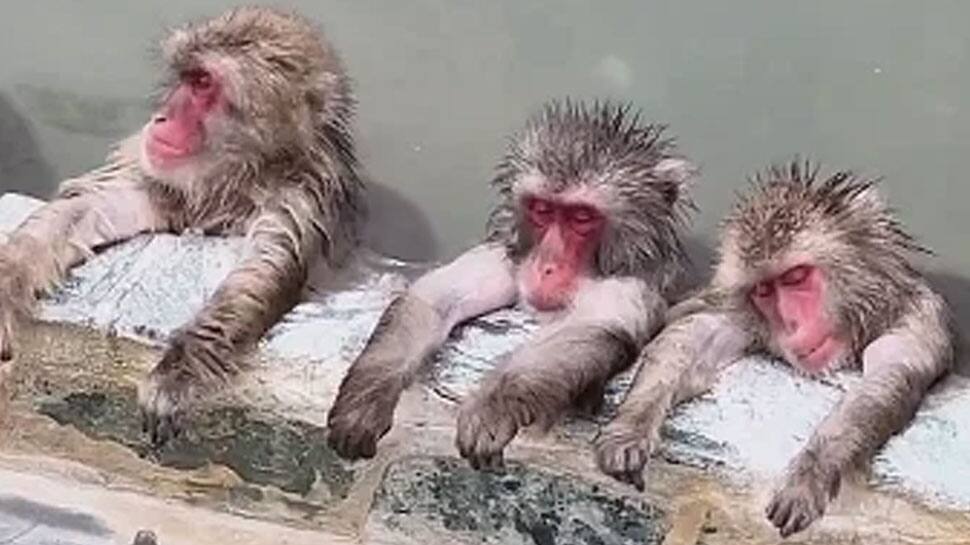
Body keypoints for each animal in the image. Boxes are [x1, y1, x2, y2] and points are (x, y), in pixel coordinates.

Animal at [0, 7, 364, 446]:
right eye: (185, 77)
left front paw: (177, 371)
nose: (163, 116)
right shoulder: (158, 175)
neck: (234, 179)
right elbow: (87, 210)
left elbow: (267, 266)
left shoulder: (303, 200)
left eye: (204, 83)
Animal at [326, 100, 696, 467]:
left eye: (581, 217)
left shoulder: (633, 280)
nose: (545, 266)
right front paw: (365, 396)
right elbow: (436, 297)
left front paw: (491, 406)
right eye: (542, 209)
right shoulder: (513, 255)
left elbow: (595, 322)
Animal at [594, 159, 954, 537]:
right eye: (765, 290)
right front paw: (629, 429)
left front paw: (810, 472)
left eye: (796, 277)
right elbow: (697, 336)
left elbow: (885, 377)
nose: (791, 324)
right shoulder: (744, 312)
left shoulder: (919, 321)